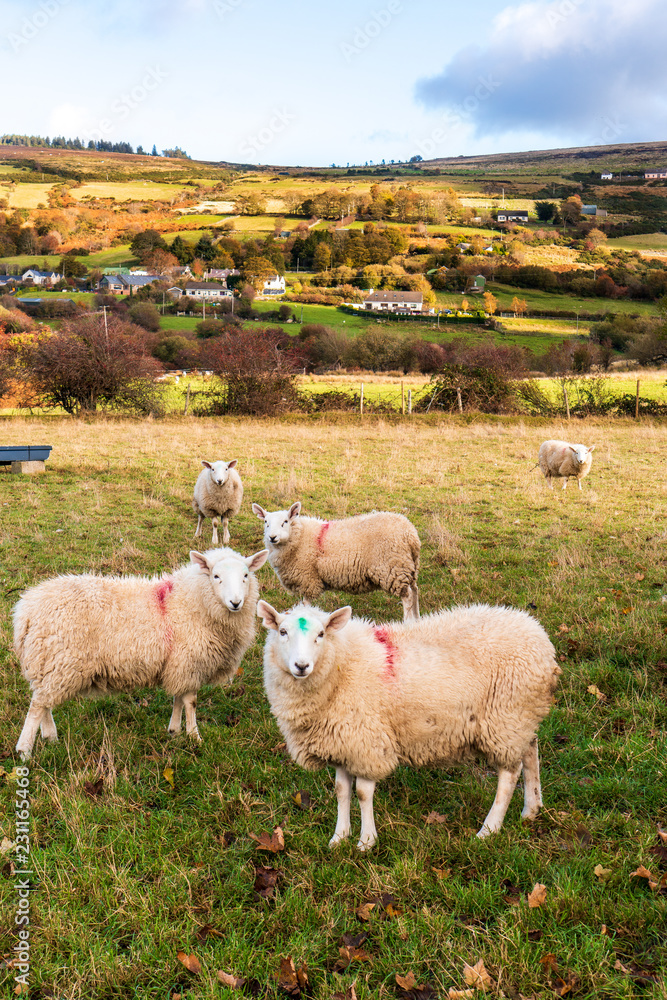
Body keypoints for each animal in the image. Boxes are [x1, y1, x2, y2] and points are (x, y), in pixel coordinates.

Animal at [13, 547, 268, 758]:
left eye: (246, 576)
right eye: (216, 576)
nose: (236, 602)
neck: (191, 601)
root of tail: (26, 610)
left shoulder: (178, 665)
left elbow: (178, 697)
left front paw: (174, 731)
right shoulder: (189, 662)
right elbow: (191, 702)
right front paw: (195, 736)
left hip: (48, 661)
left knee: (42, 700)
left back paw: (50, 736)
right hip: (61, 660)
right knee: (37, 706)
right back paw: (25, 751)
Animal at [252, 501, 421, 621]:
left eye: (285, 521)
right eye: (266, 522)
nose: (272, 537)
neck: (299, 537)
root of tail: (411, 534)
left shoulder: (308, 579)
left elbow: (306, 604)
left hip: (393, 568)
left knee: (407, 596)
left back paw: (407, 622)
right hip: (408, 567)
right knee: (414, 591)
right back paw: (417, 621)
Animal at [258, 599, 560, 849]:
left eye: (320, 634)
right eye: (282, 632)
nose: (301, 666)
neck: (343, 662)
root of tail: (539, 636)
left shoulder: (368, 742)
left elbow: (363, 793)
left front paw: (366, 841)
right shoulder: (344, 741)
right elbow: (342, 791)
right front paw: (339, 837)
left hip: (505, 719)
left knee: (509, 775)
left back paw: (489, 829)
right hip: (521, 718)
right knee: (531, 750)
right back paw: (531, 808)